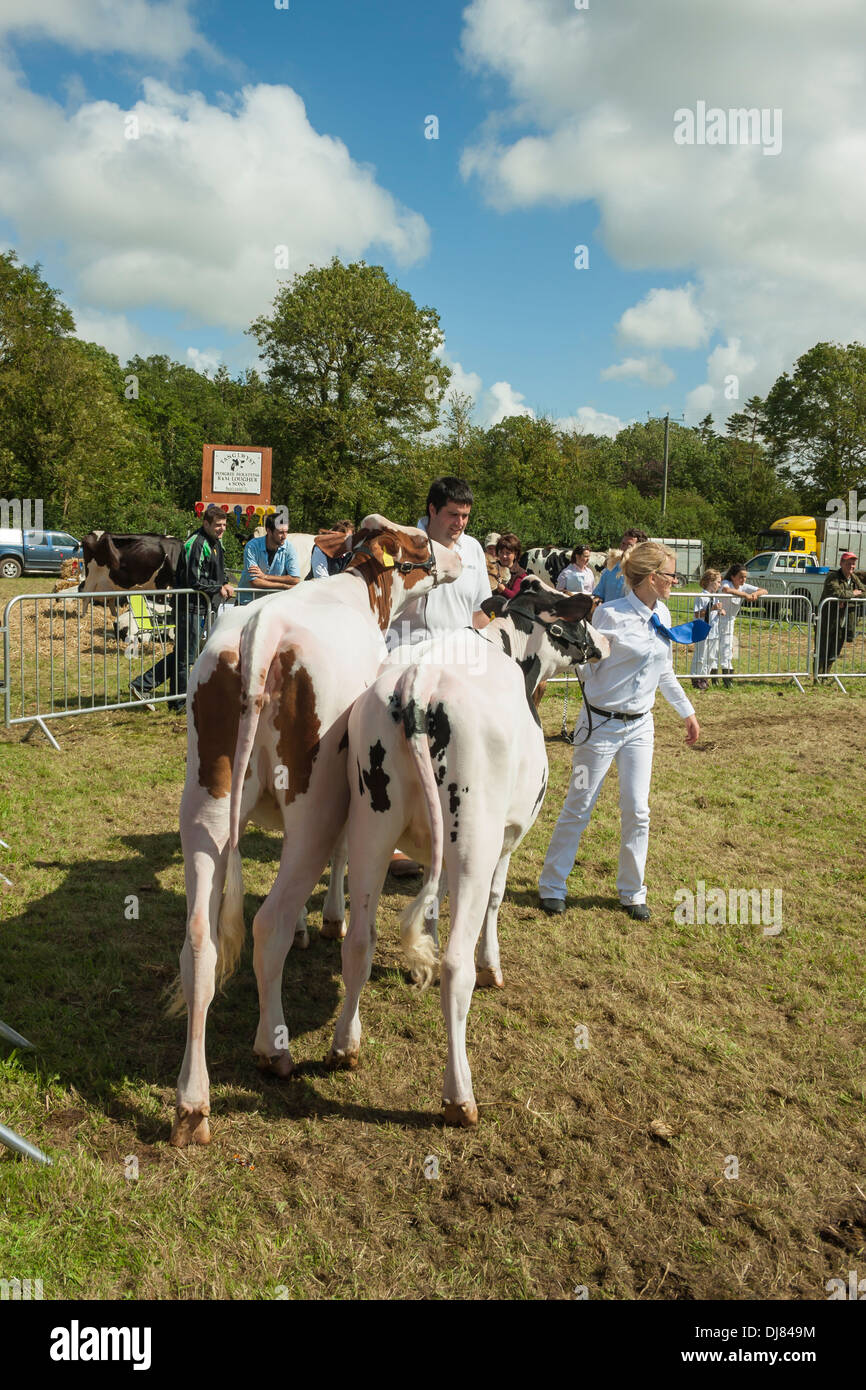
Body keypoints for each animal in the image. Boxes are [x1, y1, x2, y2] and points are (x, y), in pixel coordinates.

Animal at [170, 515, 462, 1147]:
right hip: (314, 800)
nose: (455, 553)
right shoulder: (352, 791)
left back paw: (192, 1102)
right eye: (416, 542)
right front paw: (329, 919)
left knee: (201, 936)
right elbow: (343, 860)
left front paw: (314, 924)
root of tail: (260, 629)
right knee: (266, 923)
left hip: (206, 801)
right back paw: (272, 1049)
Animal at [325, 577, 610, 1127]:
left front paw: (426, 951)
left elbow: (432, 902)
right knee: (457, 967)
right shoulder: (510, 834)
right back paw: (460, 1095)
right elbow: (496, 901)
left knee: (360, 940)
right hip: (474, 841)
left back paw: (345, 1046)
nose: (603, 645)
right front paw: (492, 966)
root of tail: (419, 681)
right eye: (575, 614)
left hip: (372, 826)